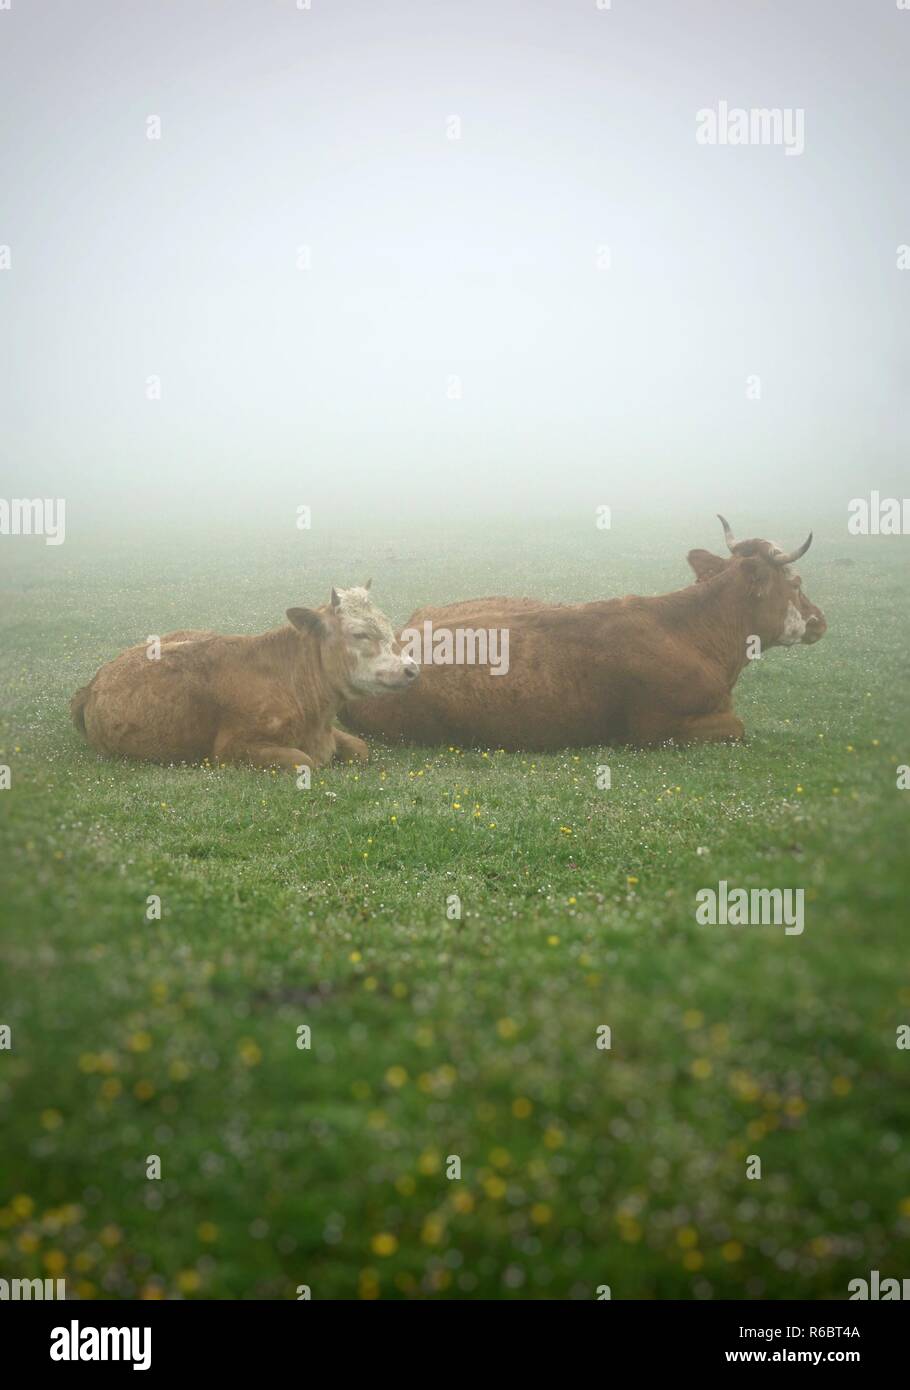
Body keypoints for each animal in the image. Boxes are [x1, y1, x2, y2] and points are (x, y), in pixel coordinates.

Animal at [71, 583, 419, 769]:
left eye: (388, 626)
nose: (412, 669)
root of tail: (93, 683)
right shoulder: (230, 749)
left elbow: (360, 748)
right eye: (359, 634)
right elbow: (303, 760)